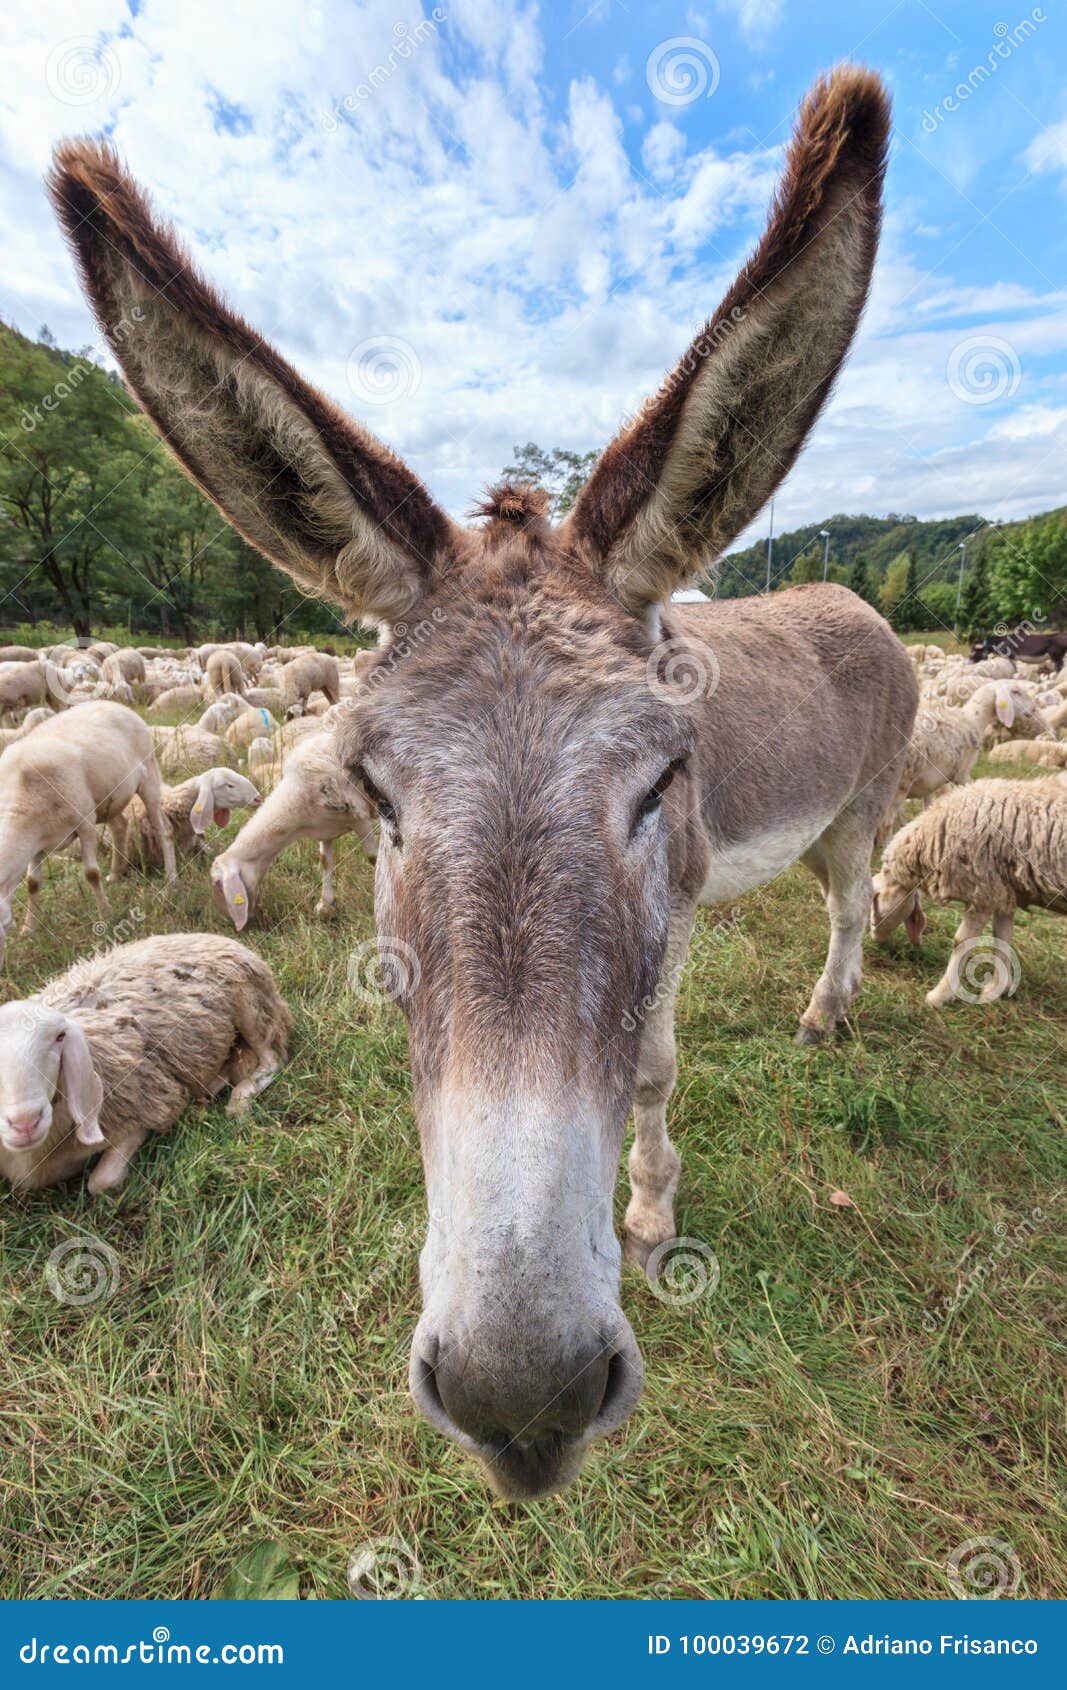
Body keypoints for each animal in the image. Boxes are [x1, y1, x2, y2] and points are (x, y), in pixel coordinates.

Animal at [0, 701, 175, 967]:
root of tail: (112, 703)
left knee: (164, 829)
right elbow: (32, 883)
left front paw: (106, 914)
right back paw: (115, 874)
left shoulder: (85, 822)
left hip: (148, 776)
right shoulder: (35, 844)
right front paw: (29, 928)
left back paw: (171, 879)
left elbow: (91, 873)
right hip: (109, 799)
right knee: (120, 825)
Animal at [0, 933, 292, 1192]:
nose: (25, 1122)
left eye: (60, 1037)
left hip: (249, 1001)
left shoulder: (148, 1108)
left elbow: (100, 1183)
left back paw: (240, 1099)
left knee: (272, 1059)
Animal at [211, 731, 376, 928]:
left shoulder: (360, 817)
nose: (227, 921)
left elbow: (373, 858)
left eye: (219, 884)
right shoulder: (326, 828)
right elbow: (325, 861)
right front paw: (324, 904)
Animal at [871, 774, 1067, 1007]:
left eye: (873, 900)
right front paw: (995, 989)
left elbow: (962, 942)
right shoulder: (1002, 890)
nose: (874, 939)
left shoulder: (982, 890)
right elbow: (1002, 937)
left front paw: (938, 996)